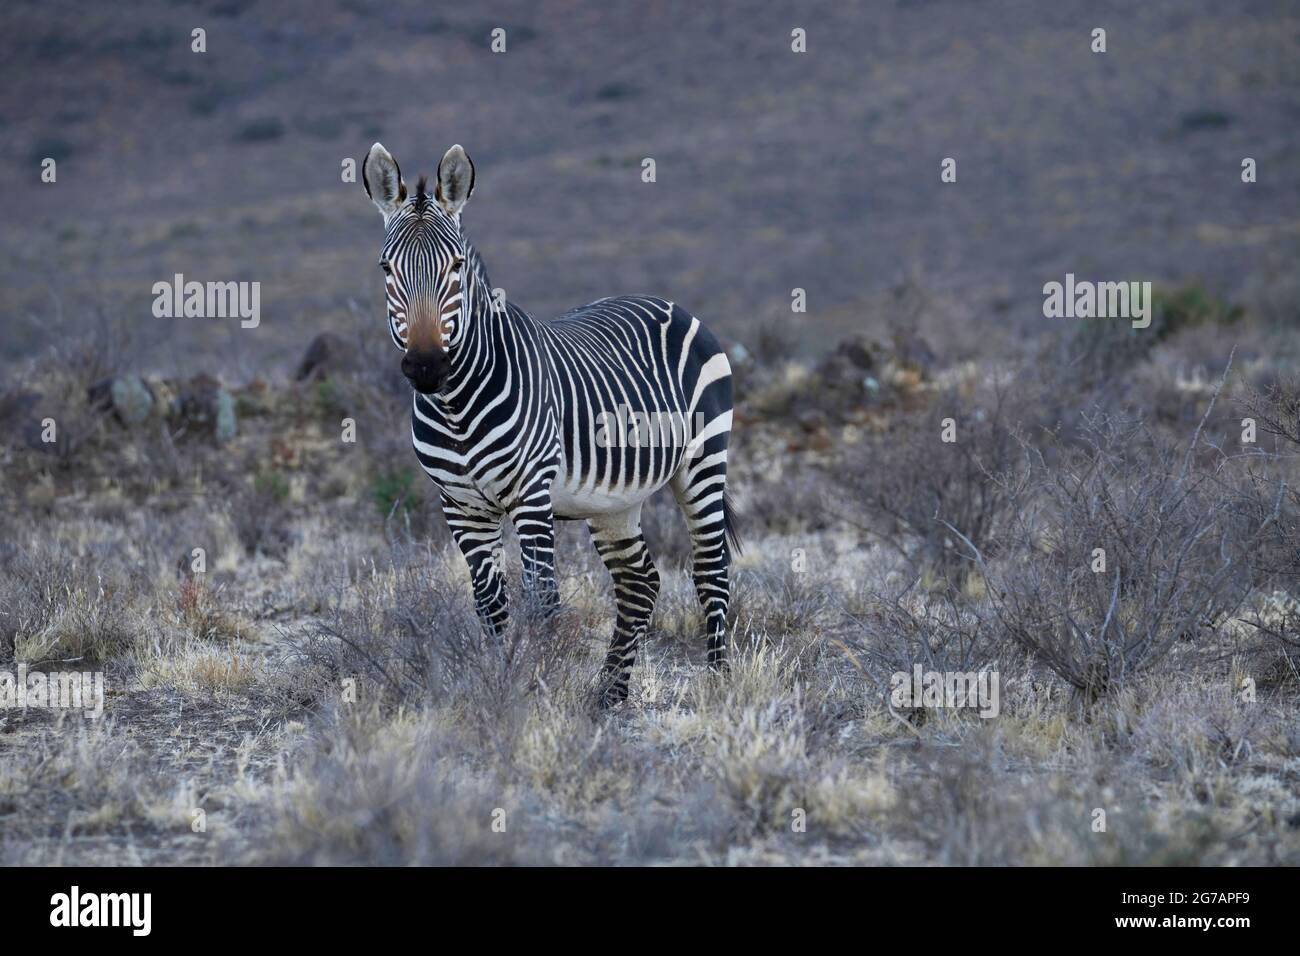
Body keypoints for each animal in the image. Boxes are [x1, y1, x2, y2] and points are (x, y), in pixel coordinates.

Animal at [361, 143, 738, 706]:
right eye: (387, 267)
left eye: (455, 265)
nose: (426, 366)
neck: (455, 404)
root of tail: (669, 303)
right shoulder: (461, 506)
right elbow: (489, 603)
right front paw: (502, 683)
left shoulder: (530, 494)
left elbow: (542, 601)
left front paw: (539, 690)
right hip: (614, 501)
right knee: (640, 582)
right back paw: (609, 692)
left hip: (703, 461)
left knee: (711, 570)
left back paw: (718, 686)